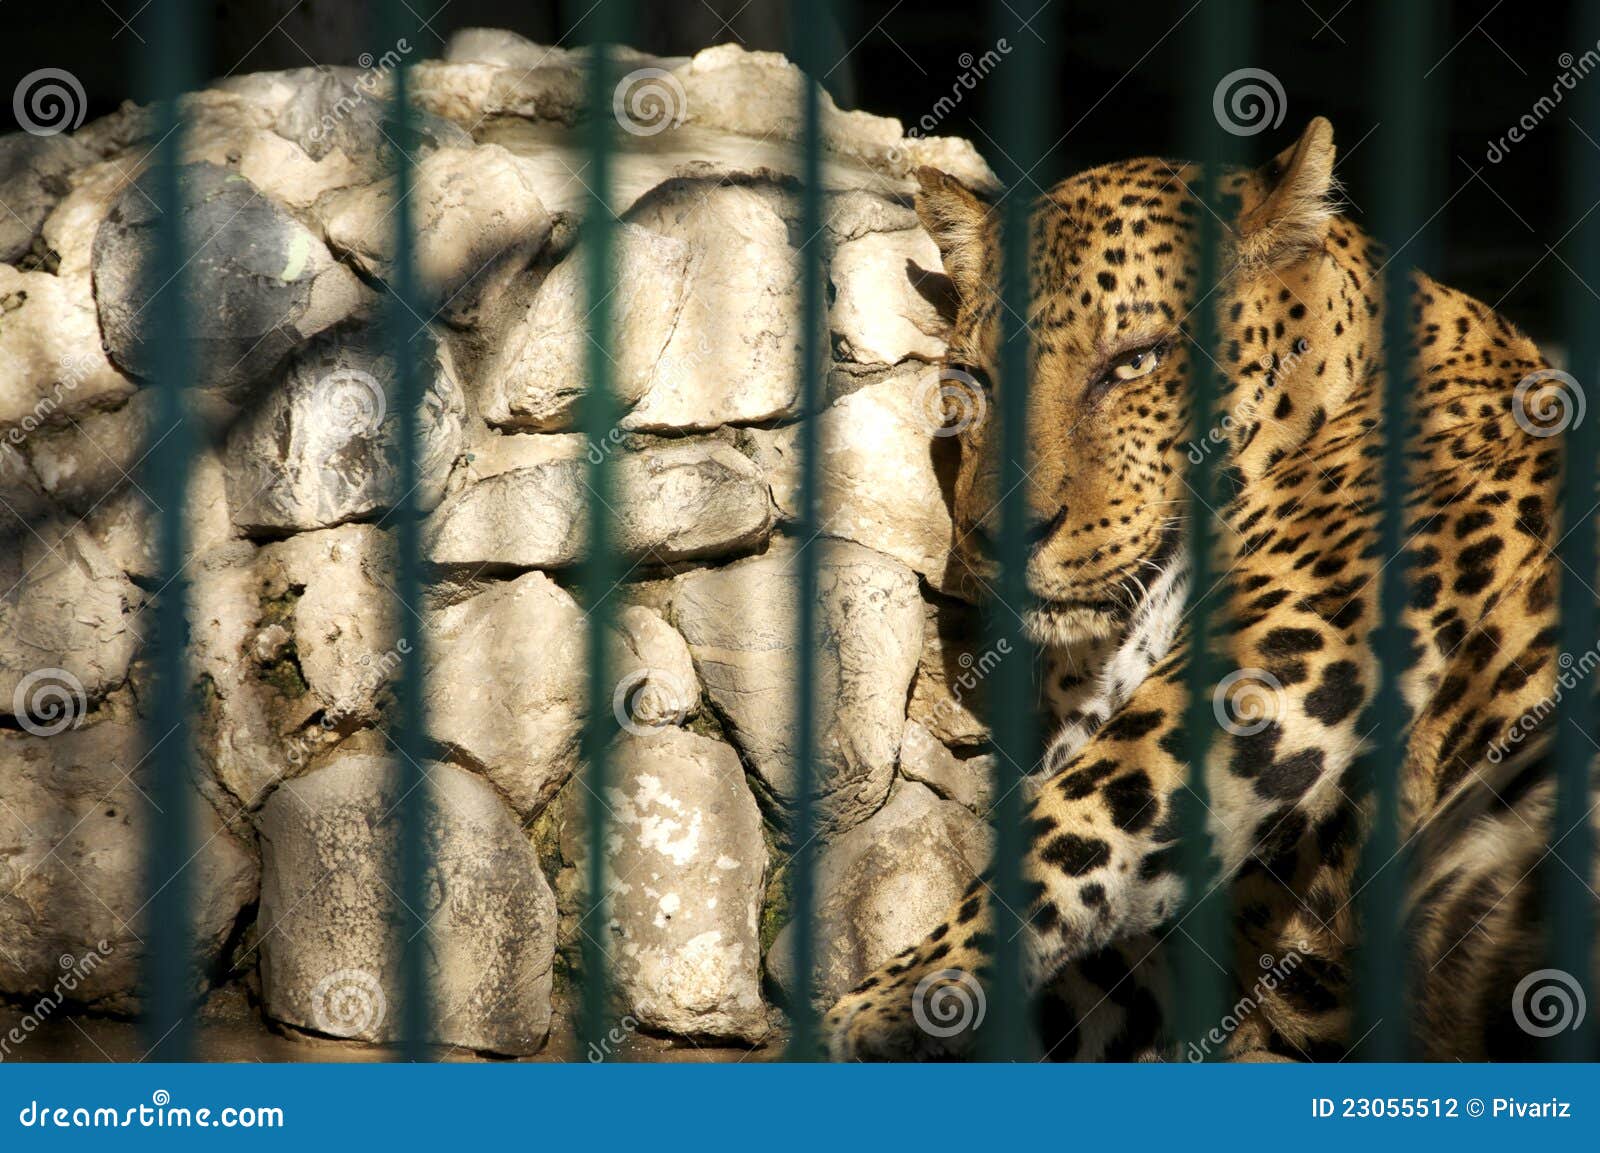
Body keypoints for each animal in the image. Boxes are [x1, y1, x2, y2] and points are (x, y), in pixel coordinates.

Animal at [824, 117, 1600, 1061]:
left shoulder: (1281, 664)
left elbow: (1072, 822)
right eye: (973, 382)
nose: (999, 537)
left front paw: (894, 999)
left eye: (1136, 363)